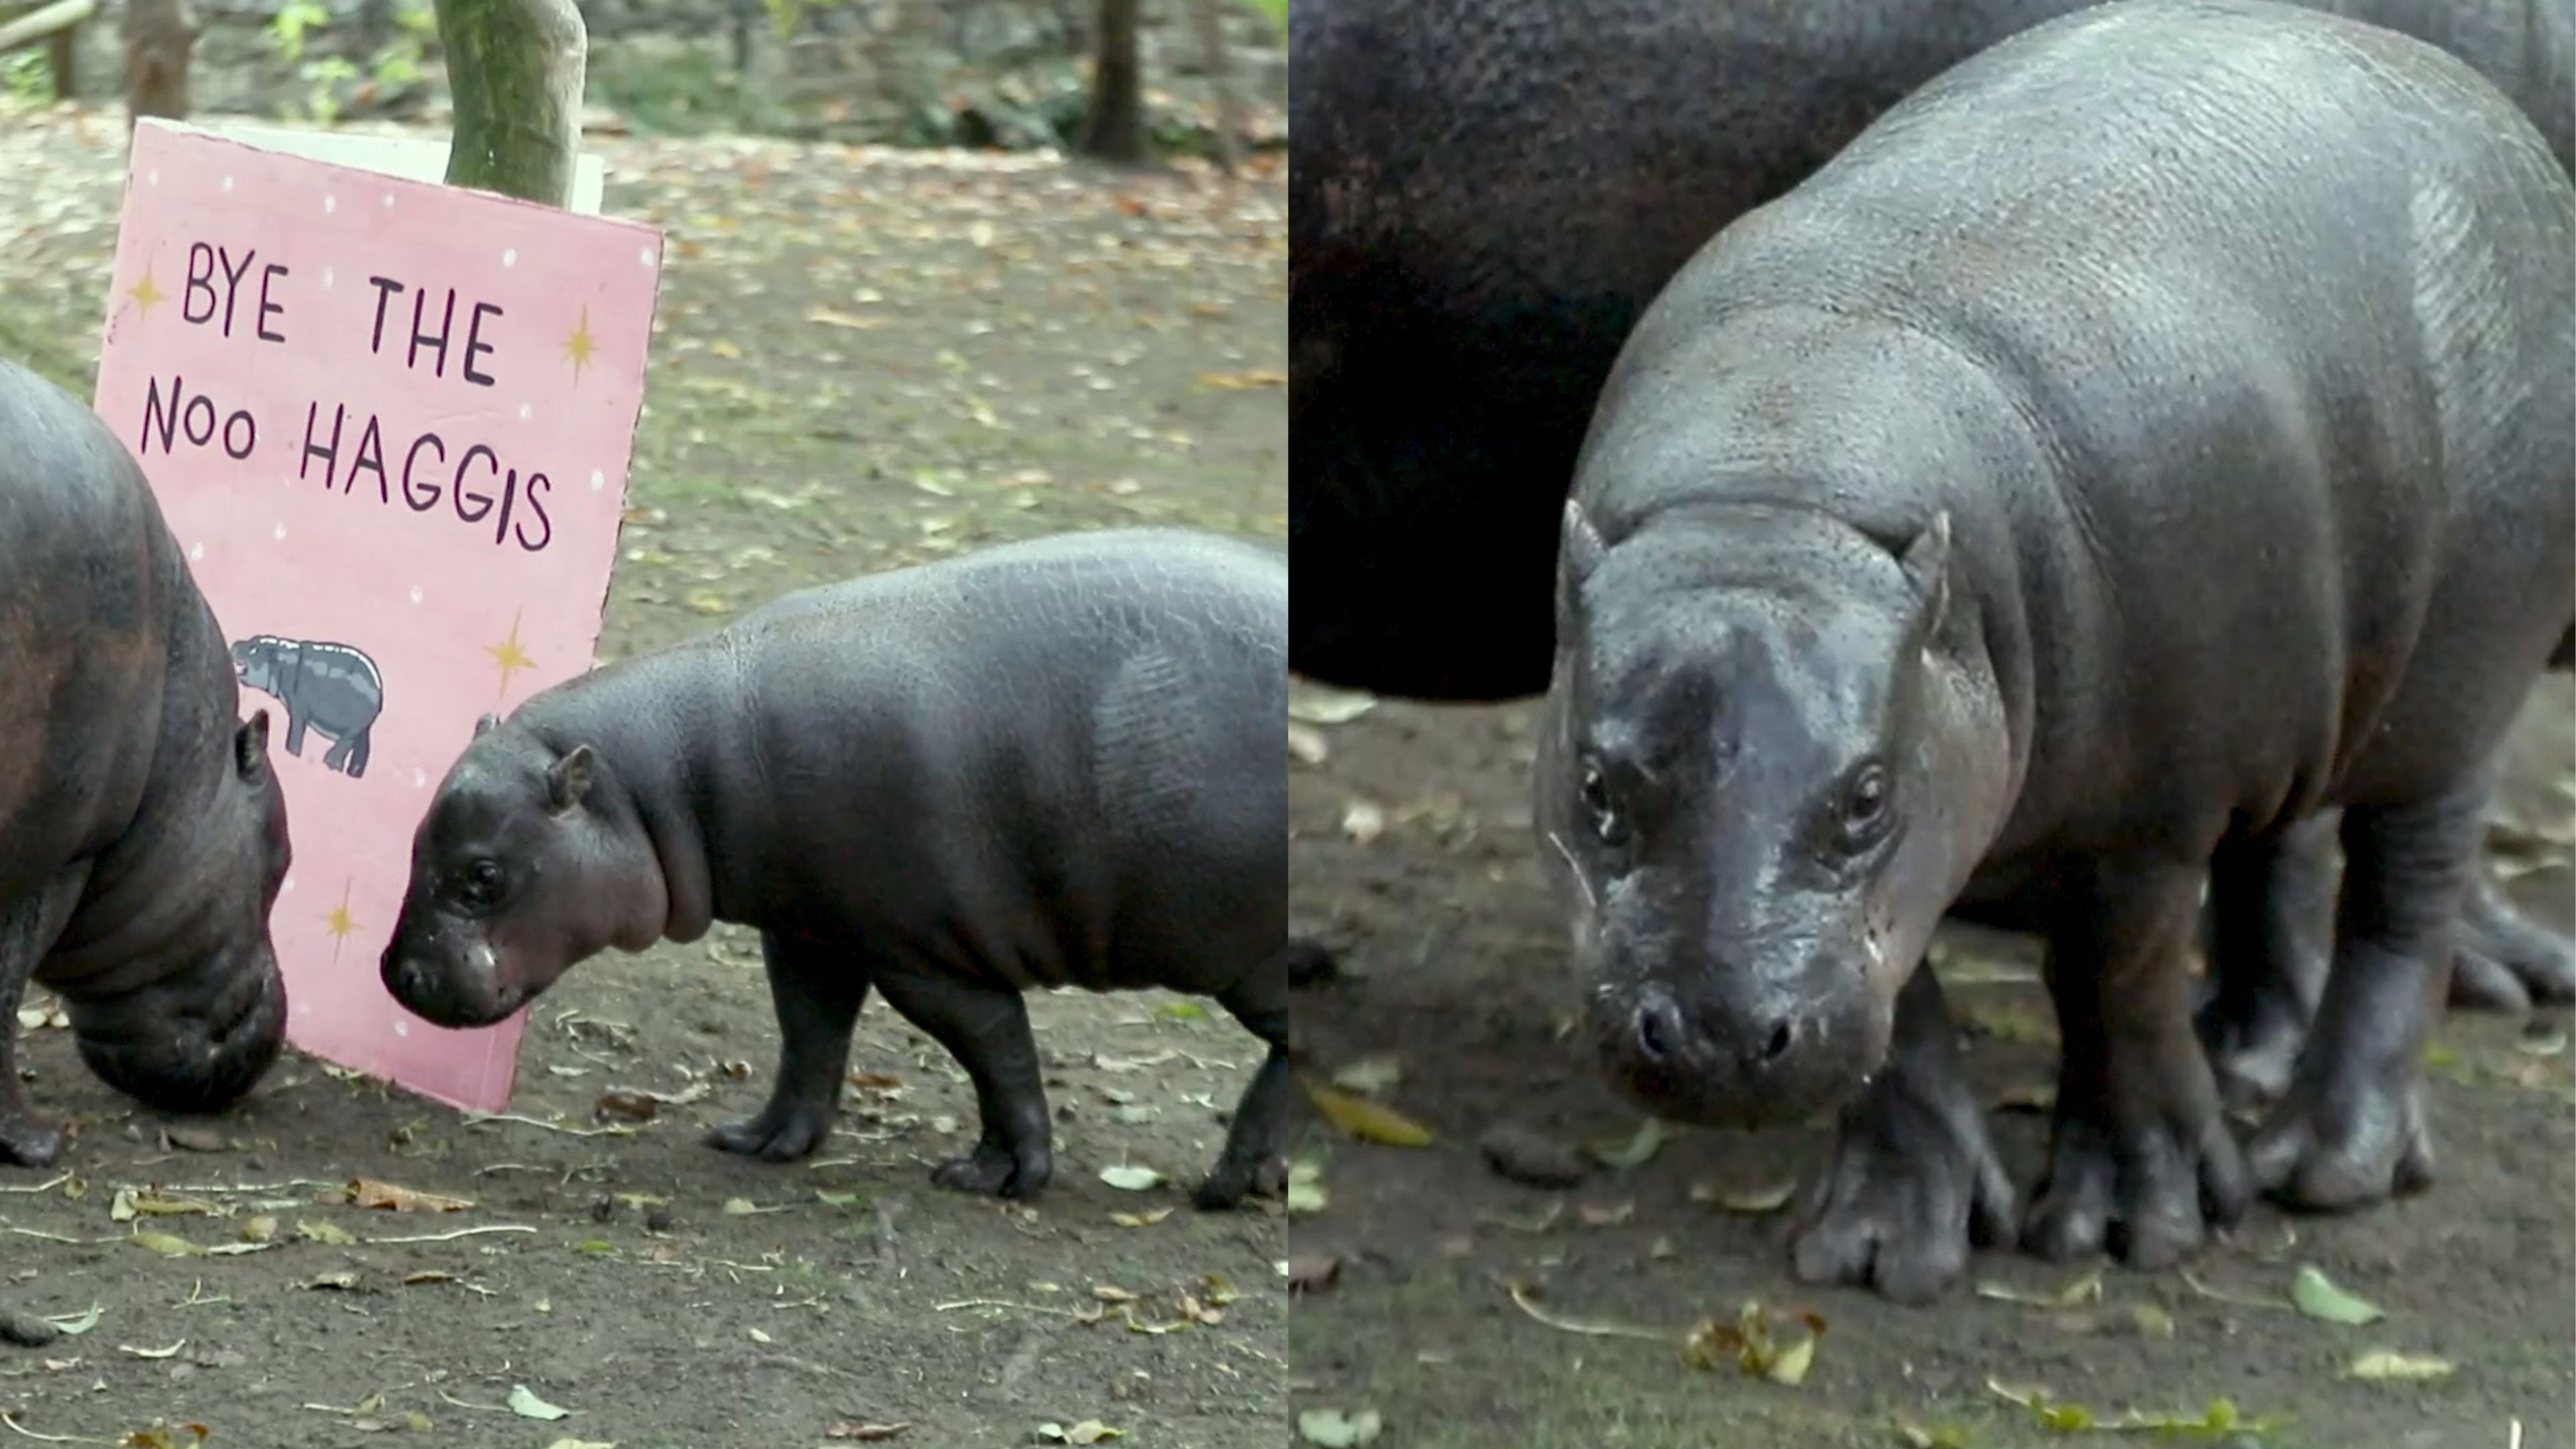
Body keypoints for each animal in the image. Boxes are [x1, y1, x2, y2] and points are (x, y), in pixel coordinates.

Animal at [229, 636, 384, 779]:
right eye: (253, 639)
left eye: (254, 649)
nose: (234, 644)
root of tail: (380, 691)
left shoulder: (298, 707)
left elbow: (296, 731)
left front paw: (293, 753)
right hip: (363, 731)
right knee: (361, 750)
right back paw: (352, 774)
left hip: (354, 727)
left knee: (345, 744)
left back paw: (330, 765)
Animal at [379, 528, 1294, 1209]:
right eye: (412, 840)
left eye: (484, 875)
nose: (395, 974)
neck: (655, 784)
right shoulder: (808, 929)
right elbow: (809, 1038)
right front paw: (758, 1142)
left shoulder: (922, 956)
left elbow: (998, 1056)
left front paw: (996, 1176)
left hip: (1251, 959)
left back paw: (1228, 1184)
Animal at [1534, 0, 2571, 1302]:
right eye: (1594, 784)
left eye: (1865, 795)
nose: (1718, 1038)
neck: (1784, 468)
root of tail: (2462, 91)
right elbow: (1906, 1020)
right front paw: (1884, 1249)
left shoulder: (2142, 816)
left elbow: (2112, 980)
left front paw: (2137, 1227)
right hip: (2299, 688)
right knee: (2285, 847)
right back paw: (2250, 1059)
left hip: (2455, 689)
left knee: (2404, 894)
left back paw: (2324, 1166)